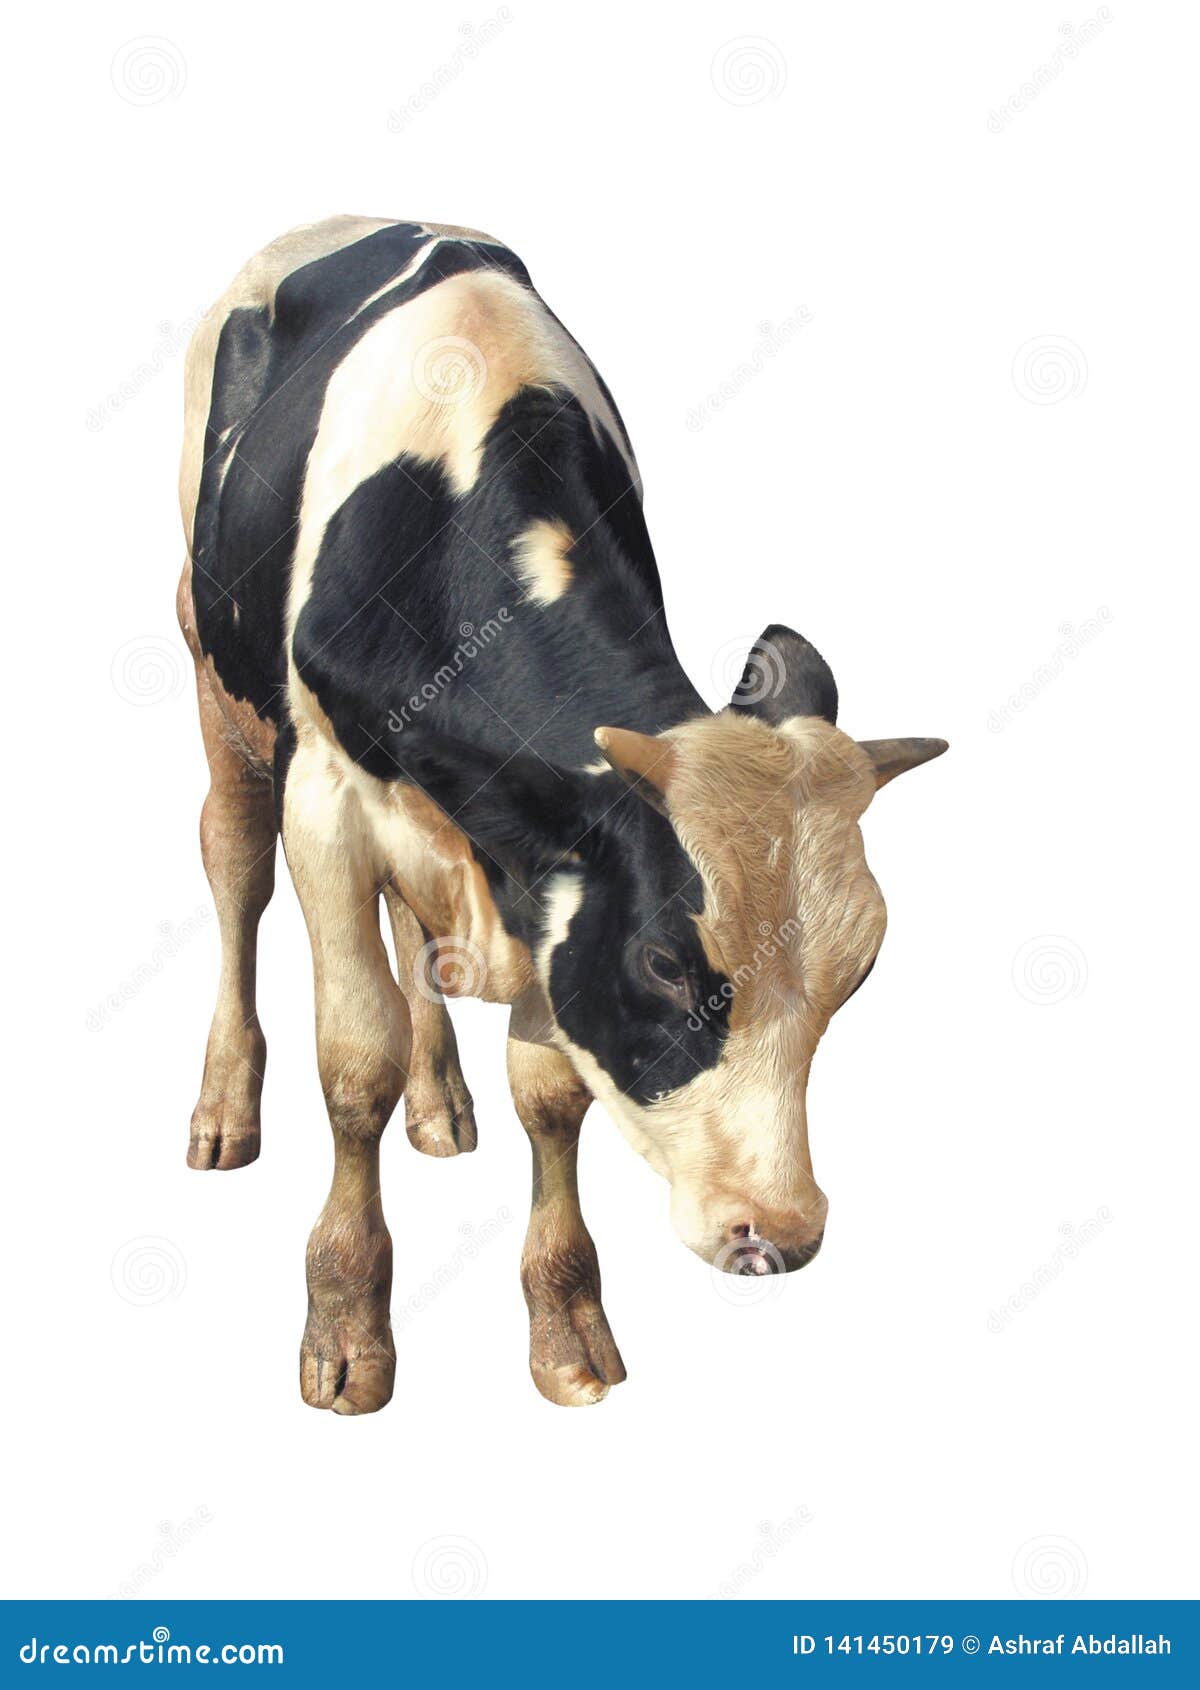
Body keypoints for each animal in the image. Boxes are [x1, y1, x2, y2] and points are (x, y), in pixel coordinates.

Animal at [177, 215, 947, 1411]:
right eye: (668, 962)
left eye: (858, 971)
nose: (778, 1234)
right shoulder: (327, 801)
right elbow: (354, 1064)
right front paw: (345, 1331)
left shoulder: (543, 861)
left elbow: (550, 1096)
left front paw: (566, 1326)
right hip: (212, 674)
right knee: (231, 865)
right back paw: (223, 1108)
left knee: (414, 932)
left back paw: (441, 1104)